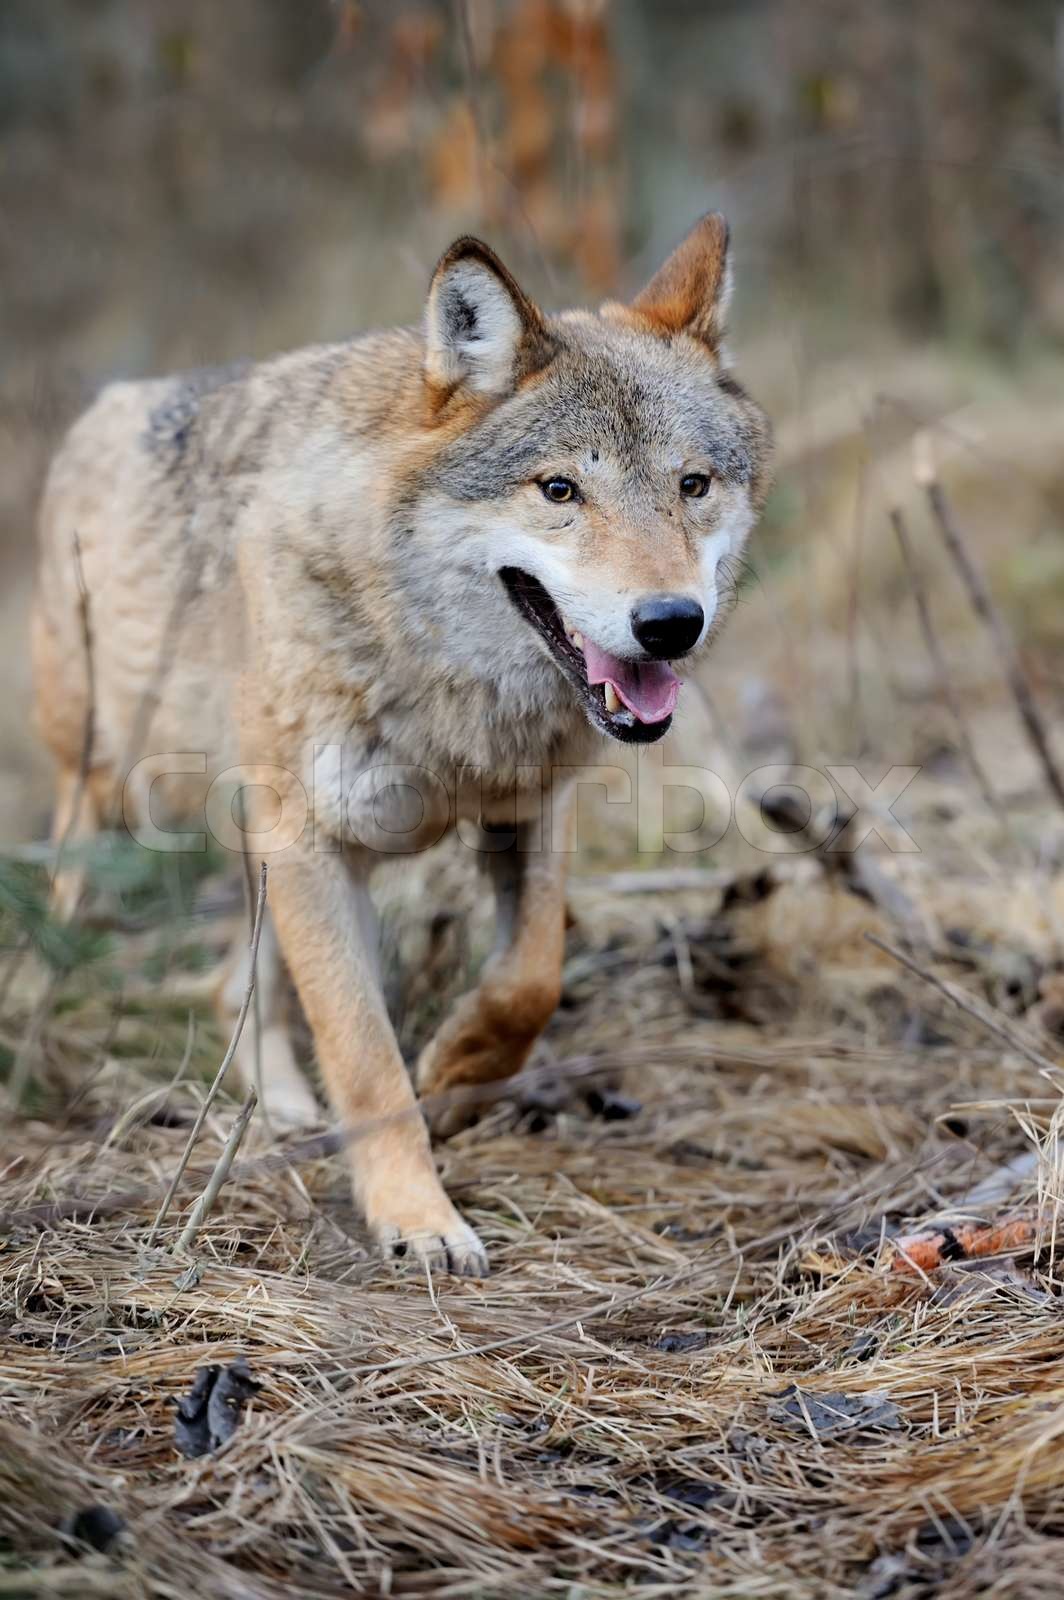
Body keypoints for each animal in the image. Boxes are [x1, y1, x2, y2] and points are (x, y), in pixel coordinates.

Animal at [32, 213, 771, 1274]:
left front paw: (457, 1071)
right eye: (559, 490)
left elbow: (529, 980)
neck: (450, 692)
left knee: (230, 985)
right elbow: (366, 1058)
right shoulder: (312, 843)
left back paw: (284, 1104)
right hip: (116, 793)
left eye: (692, 486)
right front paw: (417, 1217)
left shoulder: (527, 812)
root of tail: (103, 408)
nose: (671, 623)